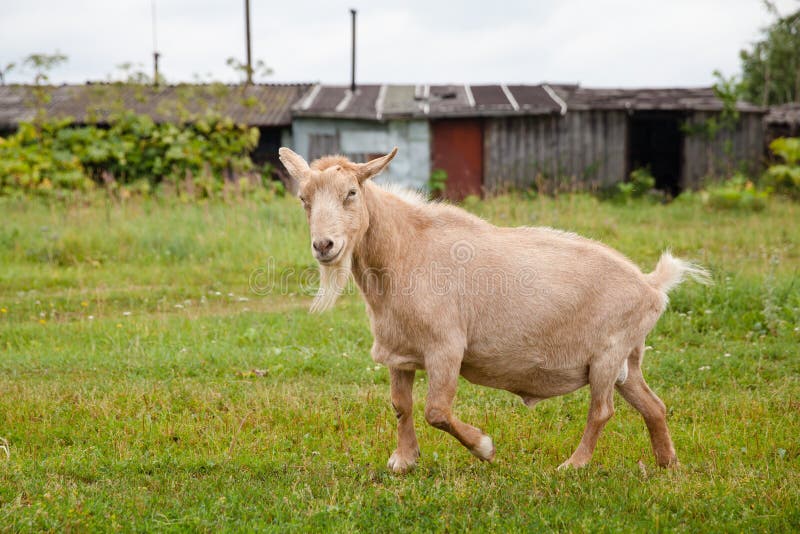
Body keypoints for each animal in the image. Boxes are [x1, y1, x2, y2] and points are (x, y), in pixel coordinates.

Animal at [278, 147, 710, 473]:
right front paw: (404, 460)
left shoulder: (446, 347)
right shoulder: (399, 352)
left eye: (351, 192)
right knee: (653, 406)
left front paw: (484, 447)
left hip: (608, 352)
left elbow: (436, 411)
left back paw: (574, 465)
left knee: (602, 411)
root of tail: (652, 286)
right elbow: (402, 406)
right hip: (627, 358)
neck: (405, 251)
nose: (324, 245)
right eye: (304, 199)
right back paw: (667, 463)